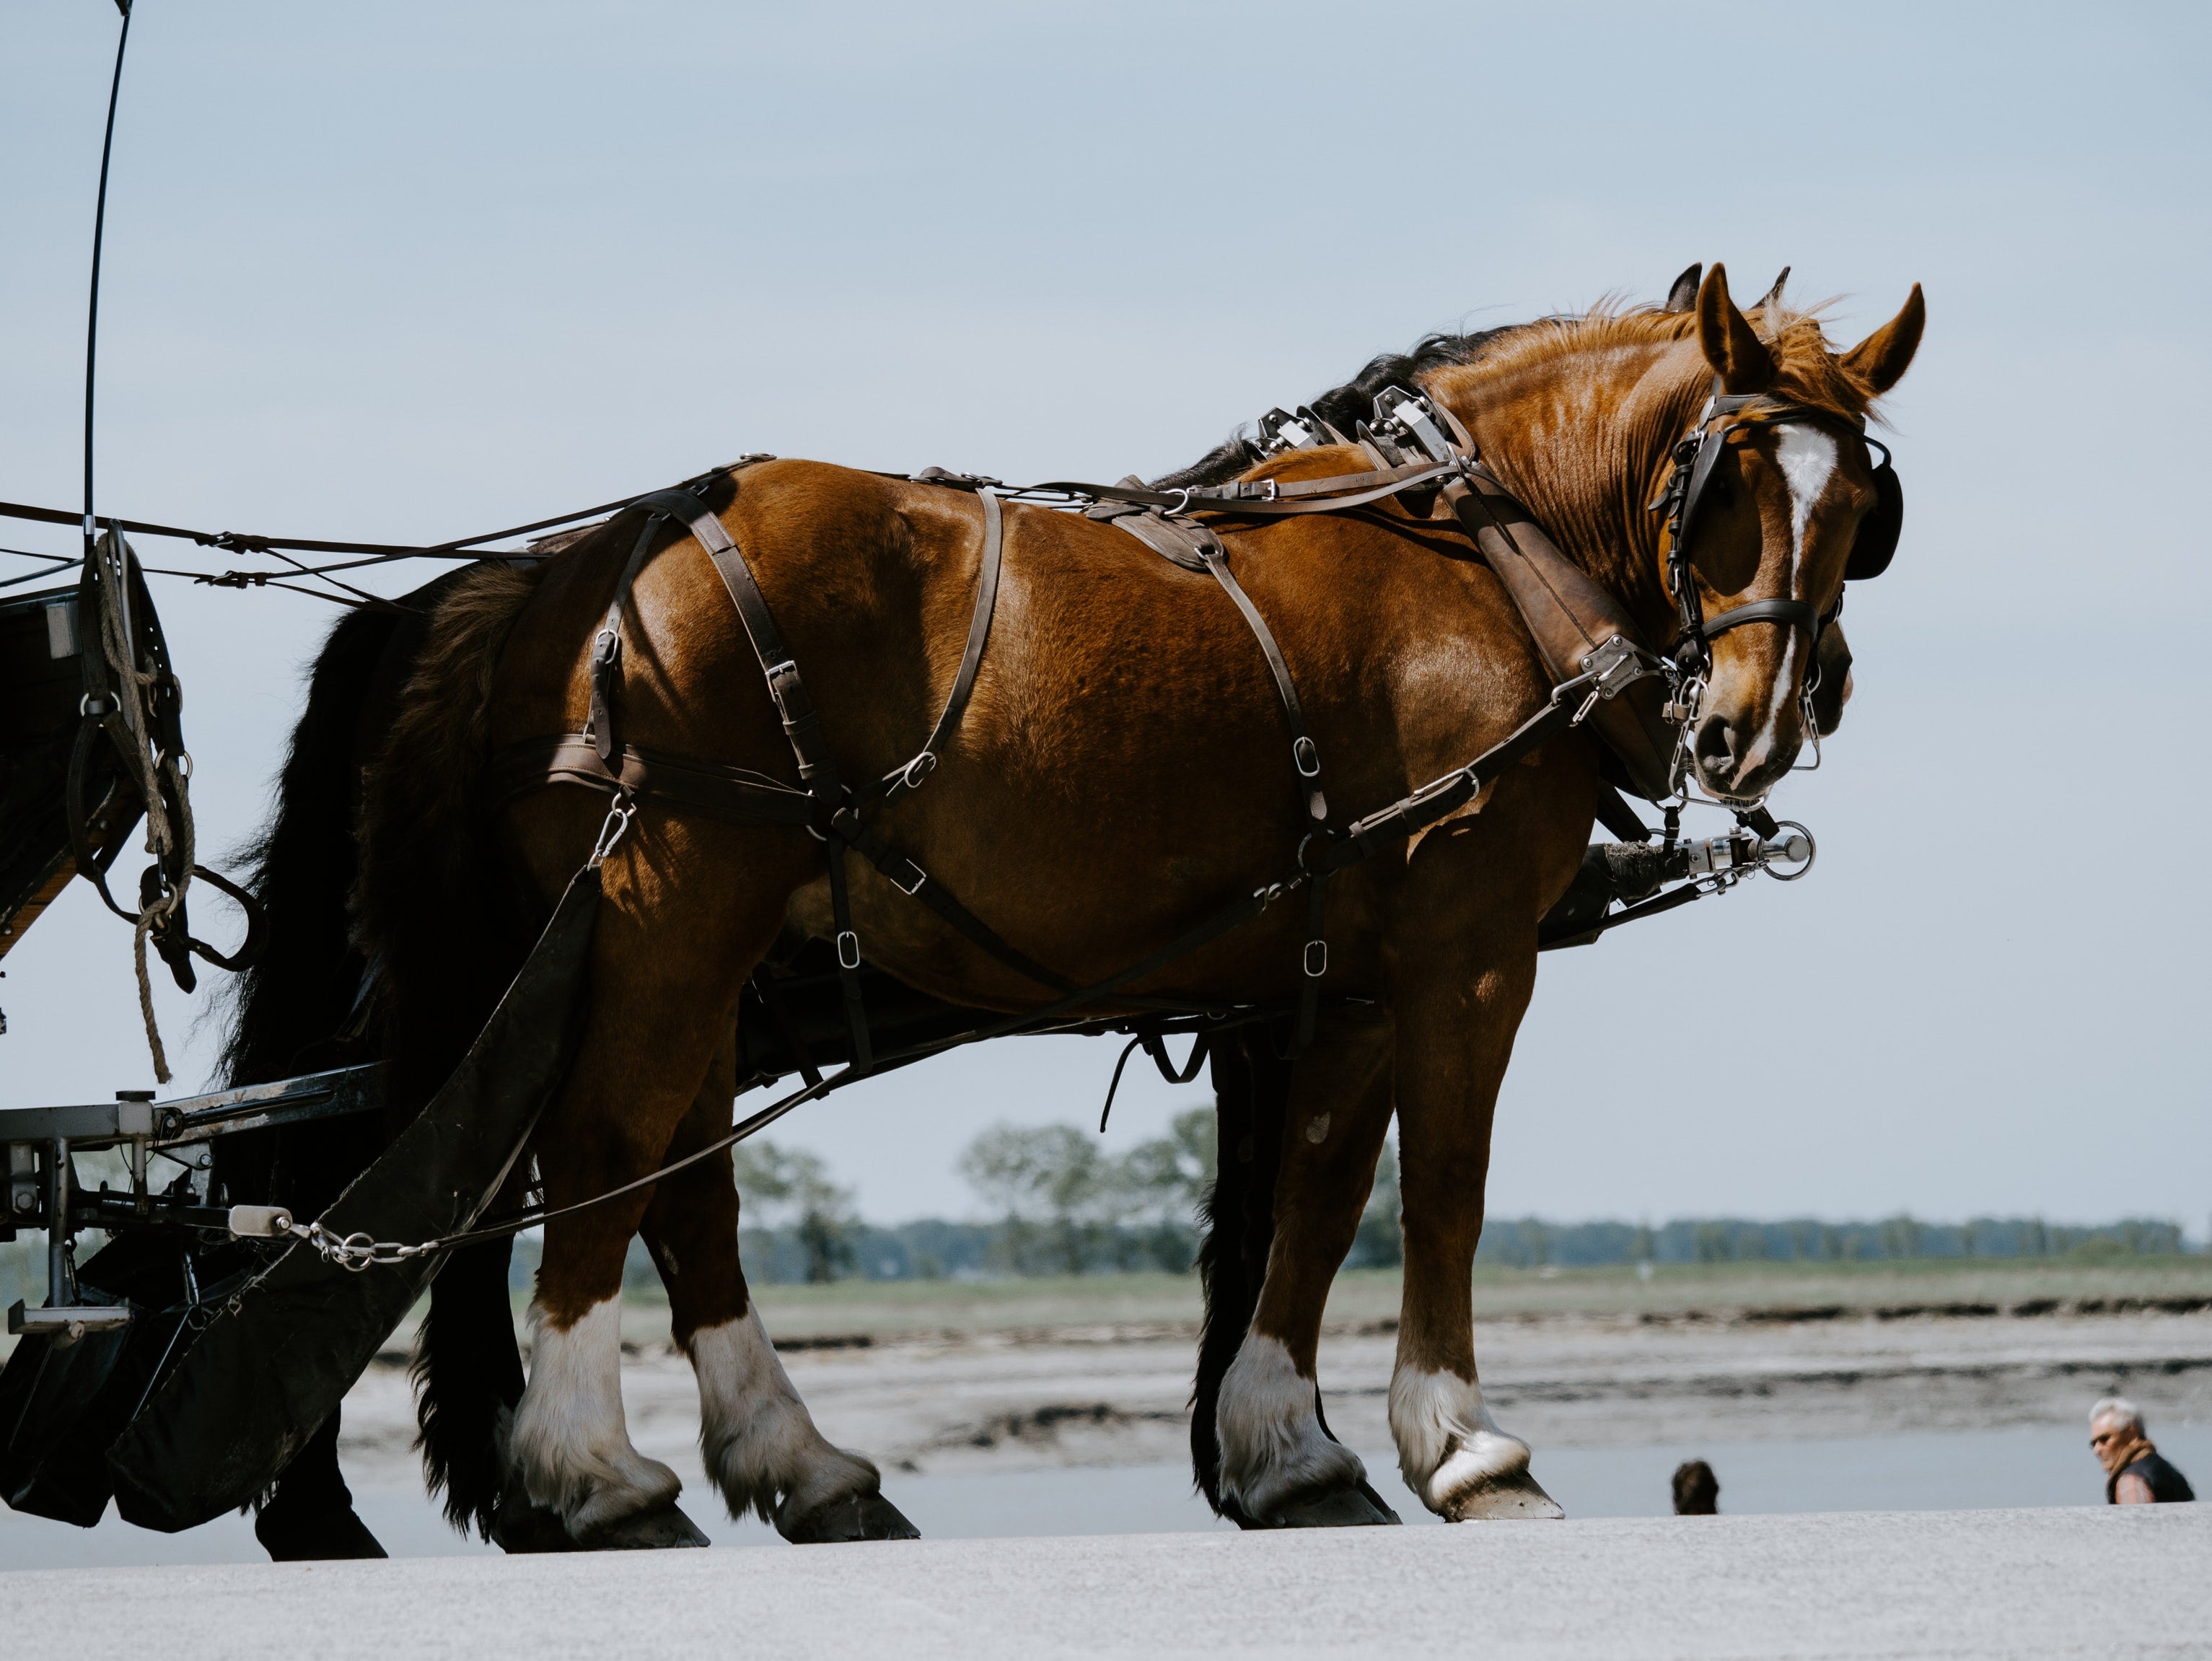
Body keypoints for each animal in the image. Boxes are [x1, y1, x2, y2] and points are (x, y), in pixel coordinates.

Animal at [231, 261, 1920, 1550]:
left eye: (1863, 507)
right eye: (1725, 480)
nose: (1758, 724)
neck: (1481, 550)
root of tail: (556, 580)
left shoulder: (1346, 969)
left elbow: (1314, 1192)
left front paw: (1286, 1448)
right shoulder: (1467, 951)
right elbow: (1444, 1181)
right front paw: (1464, 1444)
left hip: (692, 937)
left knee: (679, 1183)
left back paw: (795, 1462)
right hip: (674, 907)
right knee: (604, 1148)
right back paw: (594, 1472)